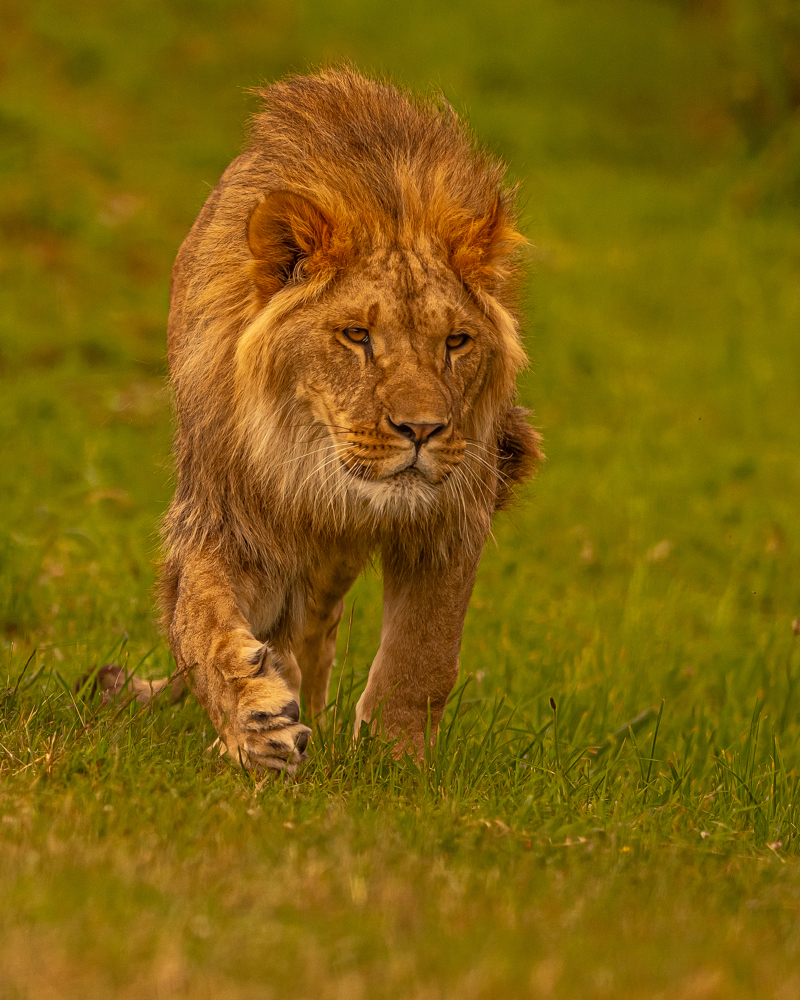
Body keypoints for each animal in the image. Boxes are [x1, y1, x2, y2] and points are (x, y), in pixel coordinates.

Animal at [130, 68, 542, 774]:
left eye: (456, 342)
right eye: (357, 336)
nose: (422, 431)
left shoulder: (451, 516)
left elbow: (423, 656)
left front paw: (397, 764)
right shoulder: (224, 514)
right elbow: (199, 622)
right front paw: (254, 721)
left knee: (319, 632)